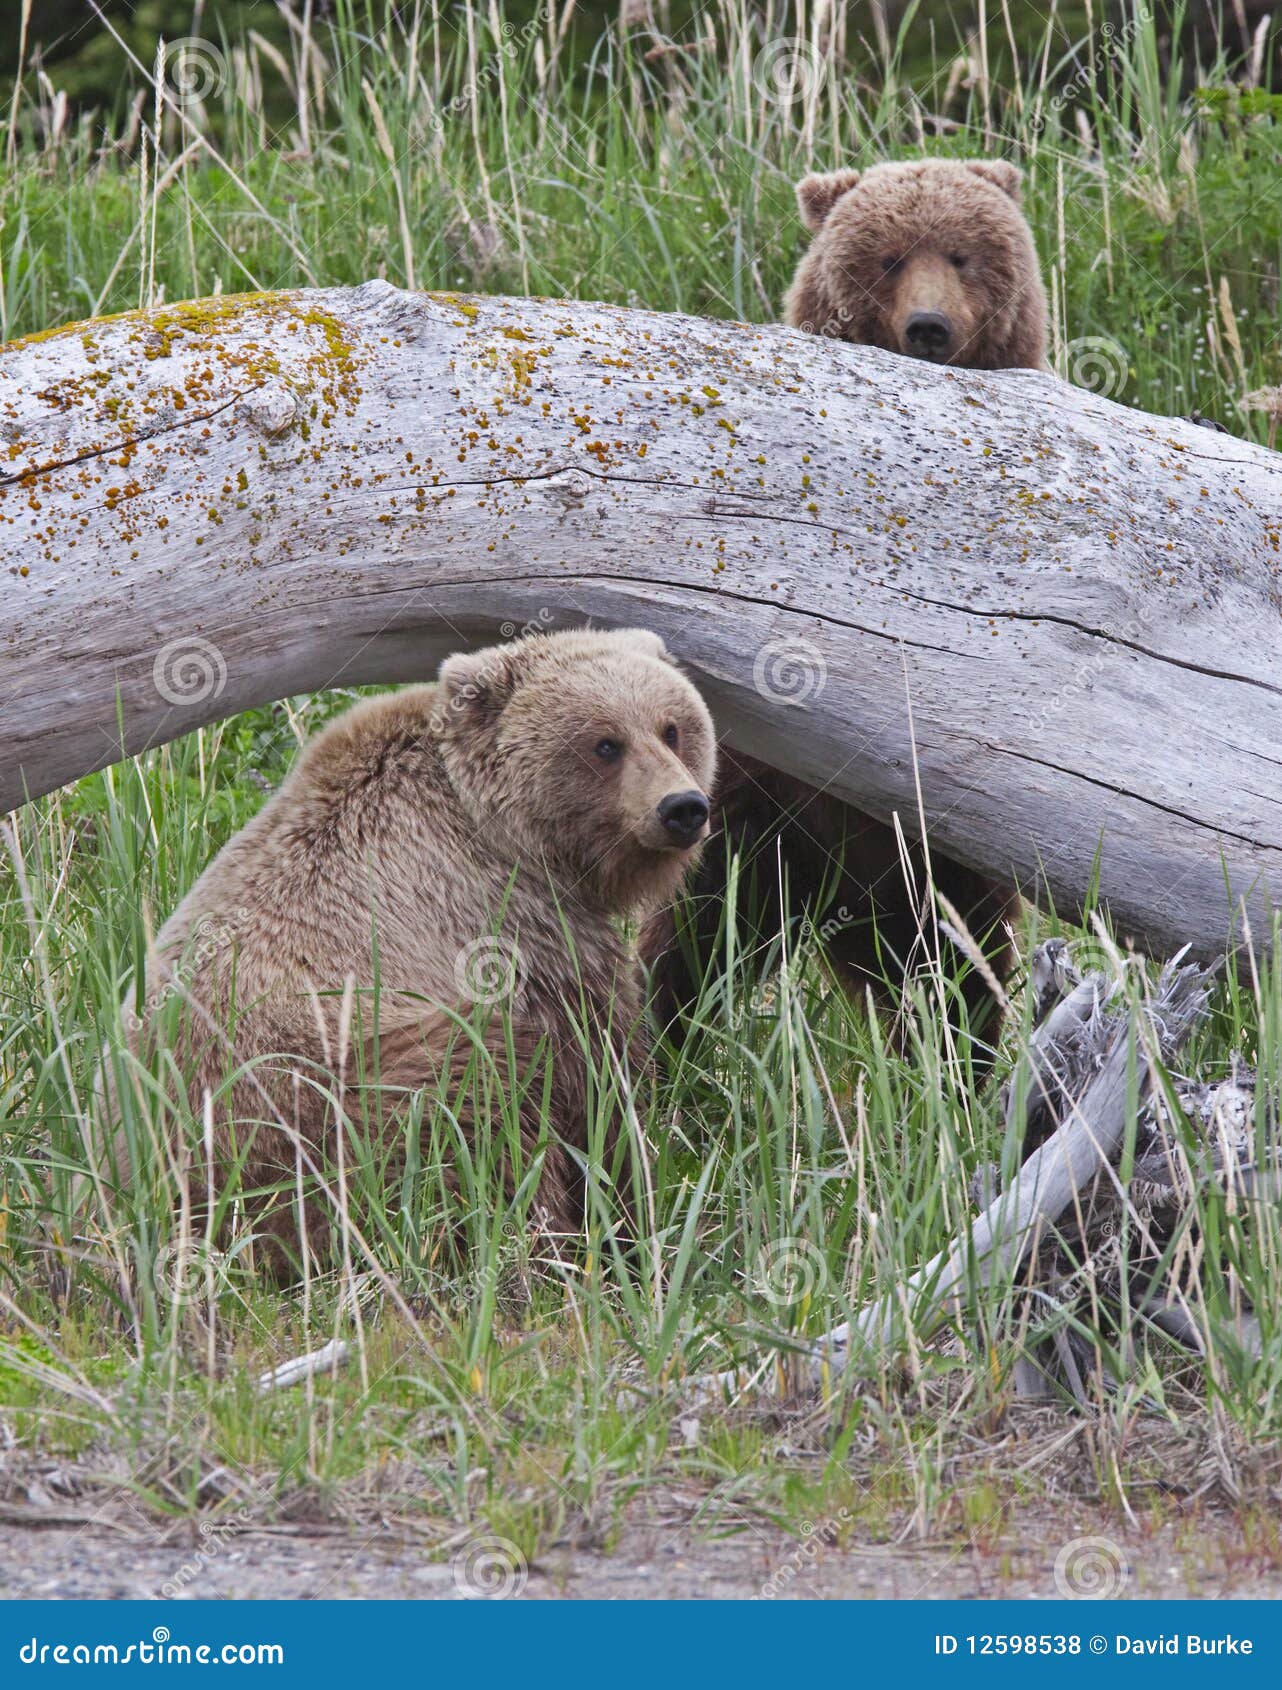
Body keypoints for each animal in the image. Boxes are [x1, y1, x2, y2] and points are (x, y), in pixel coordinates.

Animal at [120, 627, 716, 1271]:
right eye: (605, 743)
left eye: (672, 727)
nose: (682, 807)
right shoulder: (516, 929)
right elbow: (595, 1075)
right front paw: (627, 1212)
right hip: (325, 1095)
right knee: (475, 1113)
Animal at [641, 160, 1045, 1056]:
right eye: (889, 257)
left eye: (962, 254)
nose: (929, 326)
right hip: (758, 828)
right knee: (692, 941)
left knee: (961, 967)